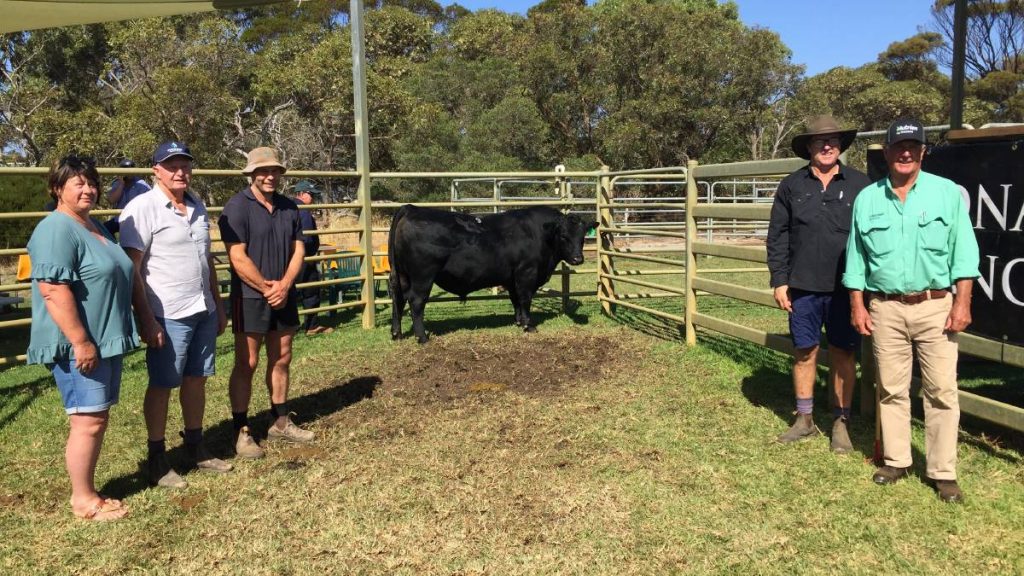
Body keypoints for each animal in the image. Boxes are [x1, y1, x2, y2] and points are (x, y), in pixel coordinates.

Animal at [388, 205, 597, 343]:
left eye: (583, 237)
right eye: (563, 236)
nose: (578, 259)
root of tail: (412, 208)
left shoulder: (512, 278)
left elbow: (516, 300)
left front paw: (519, 322)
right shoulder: (526, 273)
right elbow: (525, 299)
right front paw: (529, 325)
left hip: (402, 275)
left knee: (398, 299)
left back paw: (396, 333)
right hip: (423, 276)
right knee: (416, 301)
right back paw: (422, 337)